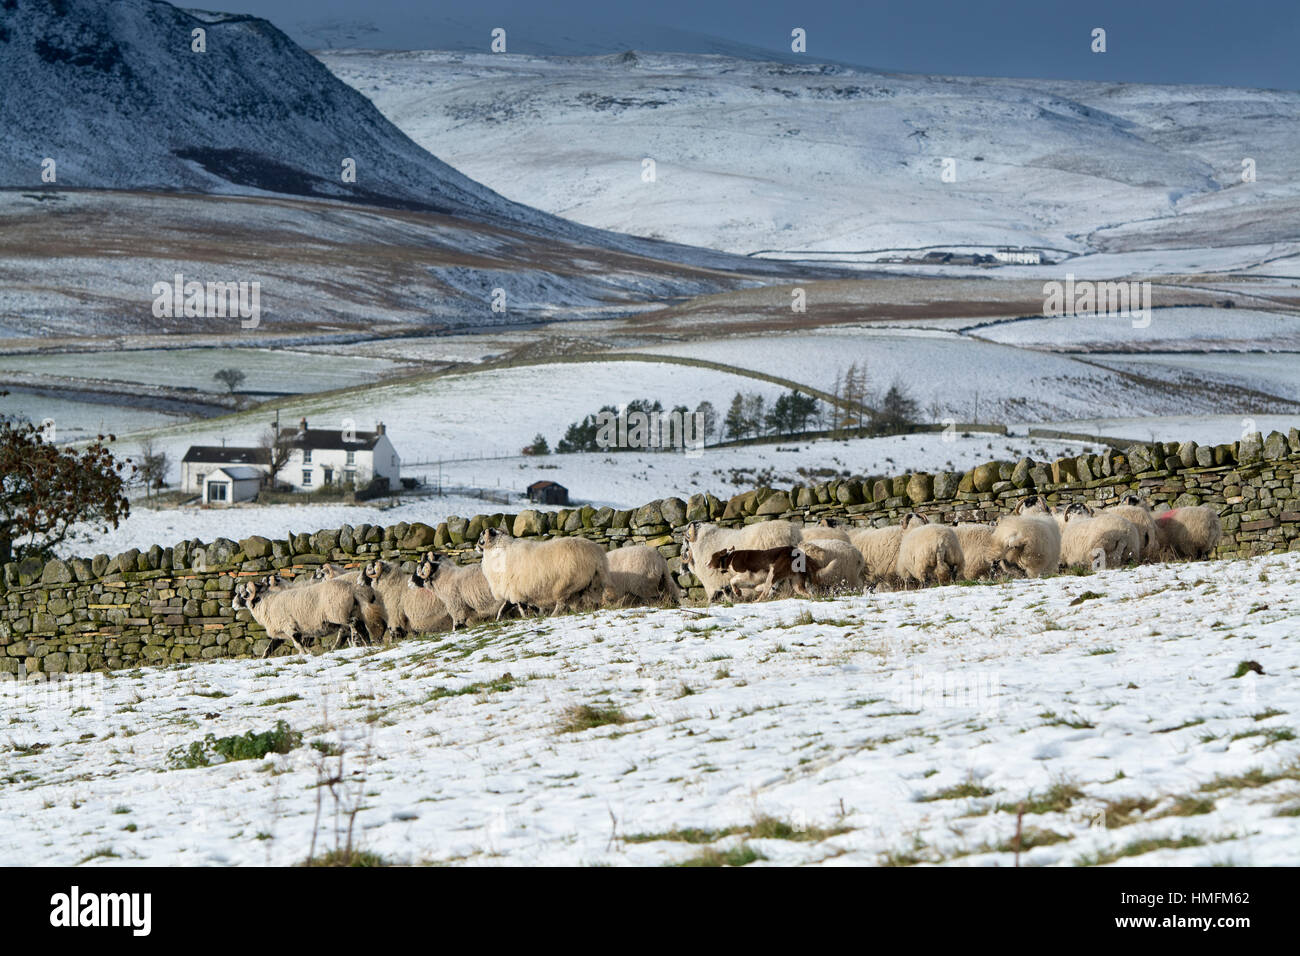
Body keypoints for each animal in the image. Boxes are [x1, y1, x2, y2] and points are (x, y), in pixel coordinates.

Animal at [231, 575, 379, 655]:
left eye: (242, 593)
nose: (233, 604)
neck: (266, 603)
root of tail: (351, 588)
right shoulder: (281, 634)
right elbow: (268, 649)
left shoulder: (290, 627)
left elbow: (298, 645)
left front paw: (307, 654)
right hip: (350, 612)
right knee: (360, 626)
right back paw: (367, 644)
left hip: (339, 614)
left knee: (354, 624)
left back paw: (356, 642)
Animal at [476, 528, 611, 617]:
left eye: (481, 537)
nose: (477, 547)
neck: (499, 550)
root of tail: (597, 555)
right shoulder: (514, 591)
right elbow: (504, 608)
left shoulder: (515, 590)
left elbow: (521, 608)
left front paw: (527, 617)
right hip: (589, 583)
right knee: (585, 601)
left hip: (566, 584)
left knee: (561, 603)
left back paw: (554, 615)